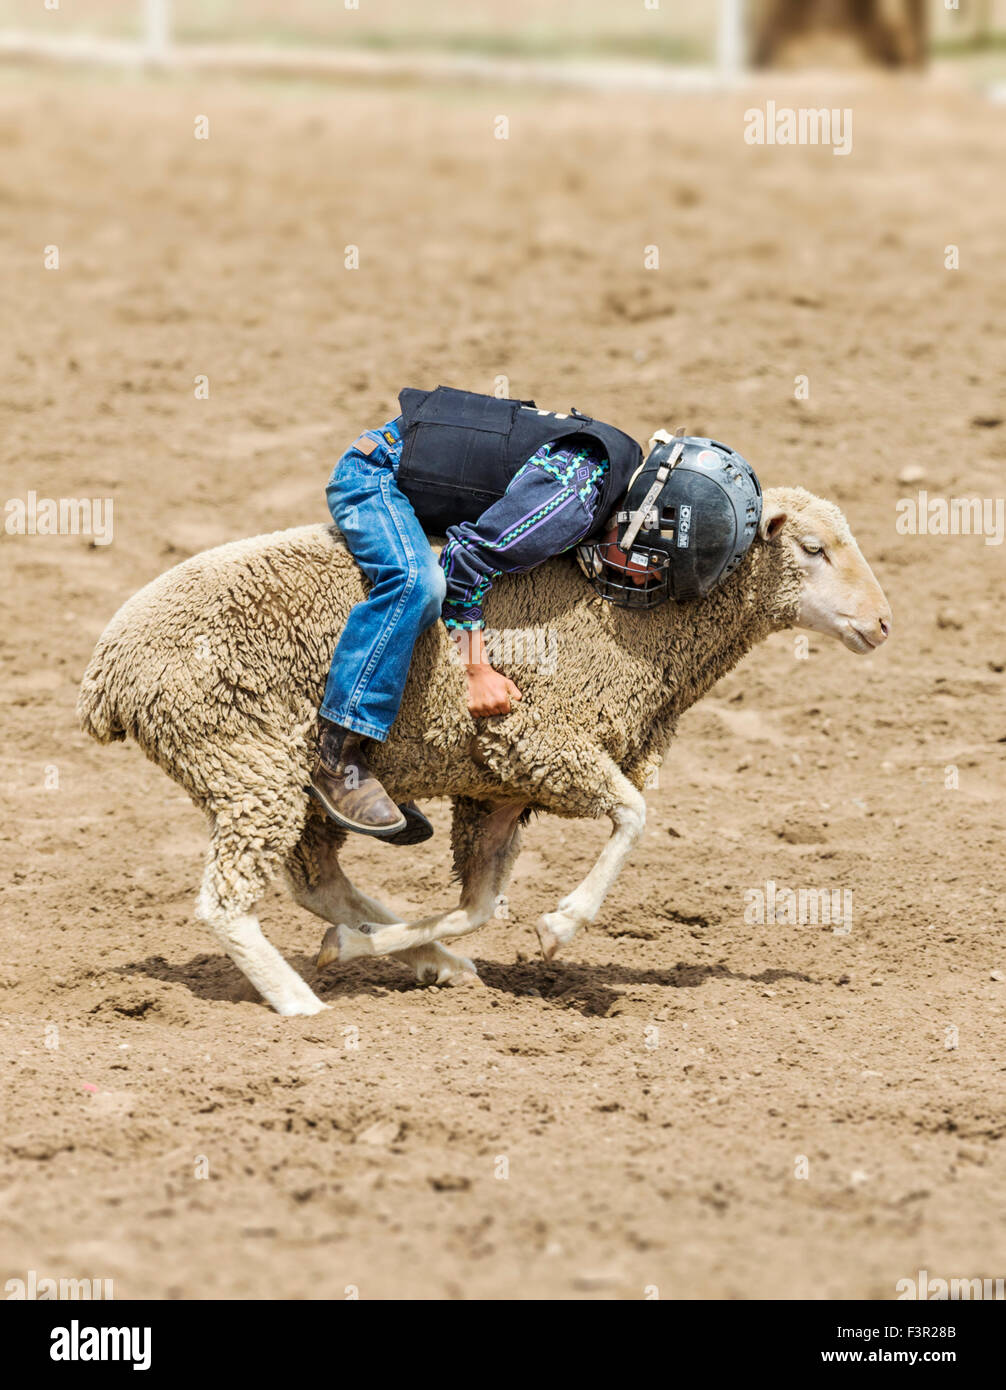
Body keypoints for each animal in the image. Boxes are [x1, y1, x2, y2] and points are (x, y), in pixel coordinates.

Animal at [77, 486, 891, 1016]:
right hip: (243, 759)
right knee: (227, 903)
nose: (883, 624)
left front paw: (370, 947)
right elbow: (632, 817)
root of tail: (109, 667)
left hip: (279, 779)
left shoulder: (500, 787)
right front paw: (561, 926)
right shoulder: (541, 742)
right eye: (813, 550)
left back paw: (410, 957)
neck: (641, 614)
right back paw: (303, 1006)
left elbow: (480, 905)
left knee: (317, 885)